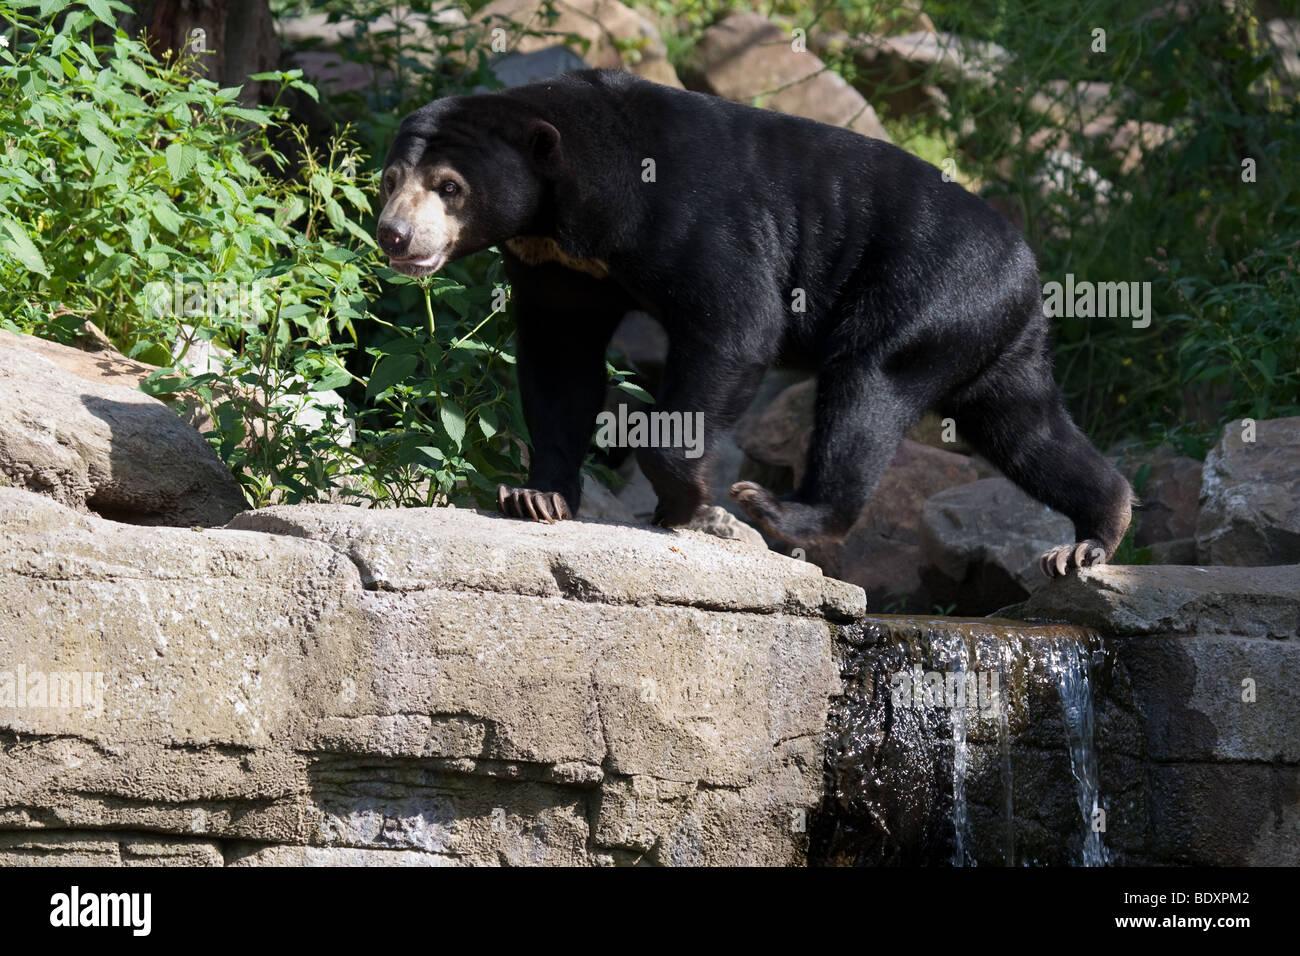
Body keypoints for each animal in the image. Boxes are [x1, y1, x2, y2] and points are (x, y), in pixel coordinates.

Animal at [376, 69, 1132, 577]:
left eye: (449, 187)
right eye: (390, 180)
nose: (394, 235)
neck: (569, 207)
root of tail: (1026, 268)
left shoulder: (681, 212)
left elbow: (736, 323)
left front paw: (685, 498)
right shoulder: (562, 267)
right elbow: (560, 359)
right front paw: (535, 497)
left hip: (933, 290)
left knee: (868, 389)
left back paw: (778, 507)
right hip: (990, 335)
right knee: (1022, 425)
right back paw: (1095, 532)